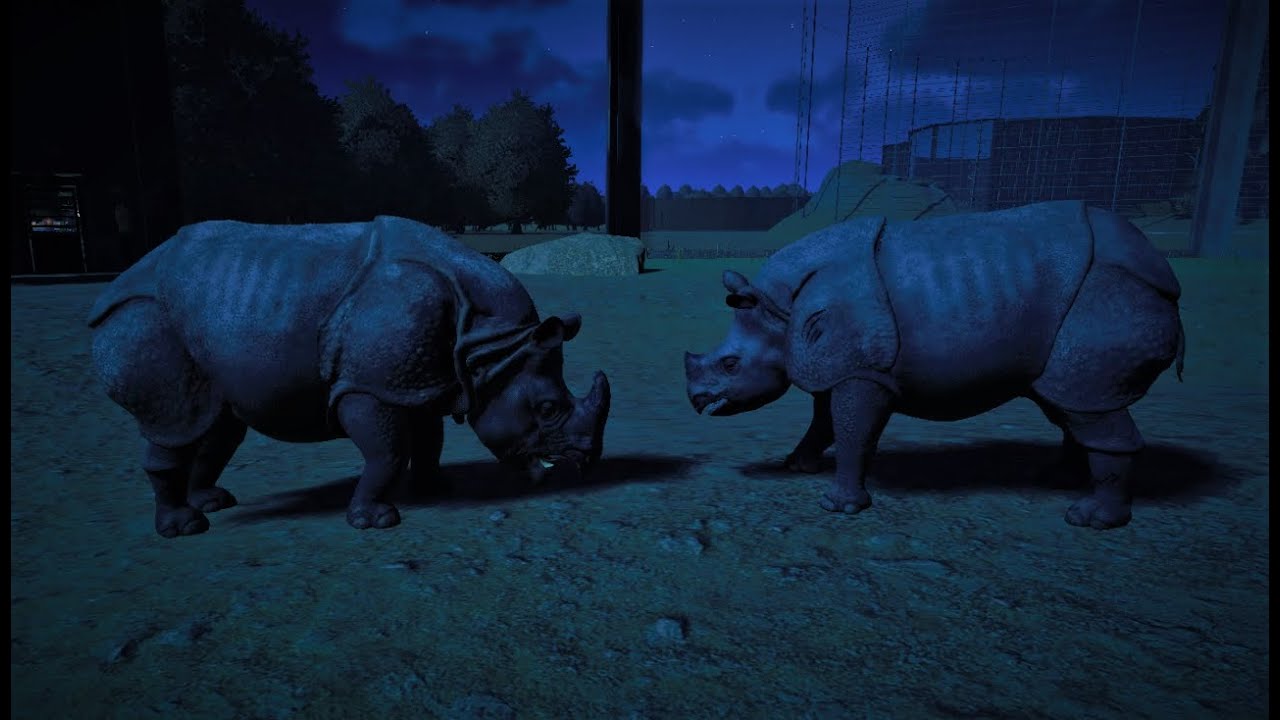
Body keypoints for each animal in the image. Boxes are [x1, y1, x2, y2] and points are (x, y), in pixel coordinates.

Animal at [89, 215, 611, 538]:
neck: (491, 345)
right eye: (547, 409)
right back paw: (186, 528)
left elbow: (428, 439)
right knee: (175, 423)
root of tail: (116, 284)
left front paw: (434, 490)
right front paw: (377, 520)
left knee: (217, 423)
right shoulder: (367, 385)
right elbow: (387, 450)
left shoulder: (416, 379)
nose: (587, 461)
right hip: (146, 319)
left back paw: (215, 502)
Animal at [684, 201, 1185, 530]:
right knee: (1067, 402)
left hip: (1106, 295)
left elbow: (852, 432)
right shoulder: (836, 363)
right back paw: (1057, 482)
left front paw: (837, 507)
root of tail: (1164, 275)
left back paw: (1089, 519)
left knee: (1086, 402)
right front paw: (796, 466)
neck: (779, 309)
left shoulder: (862, 368)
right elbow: (824, 421)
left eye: (730, 364)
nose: (695, 400)